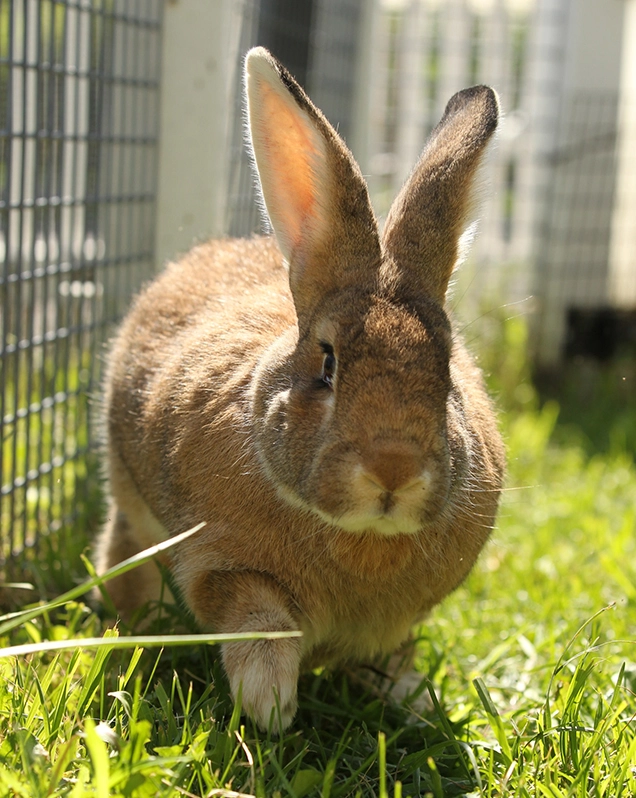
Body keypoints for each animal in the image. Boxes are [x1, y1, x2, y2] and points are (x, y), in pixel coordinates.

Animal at [95, 46, 505, 732]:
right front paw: (269, 705)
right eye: (327, 364)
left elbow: (390, 655)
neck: (361, 536)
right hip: (130, 492)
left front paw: (416, 701)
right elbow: (258, 618)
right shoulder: (221, 562)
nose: (393, 470)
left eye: (447, 369)